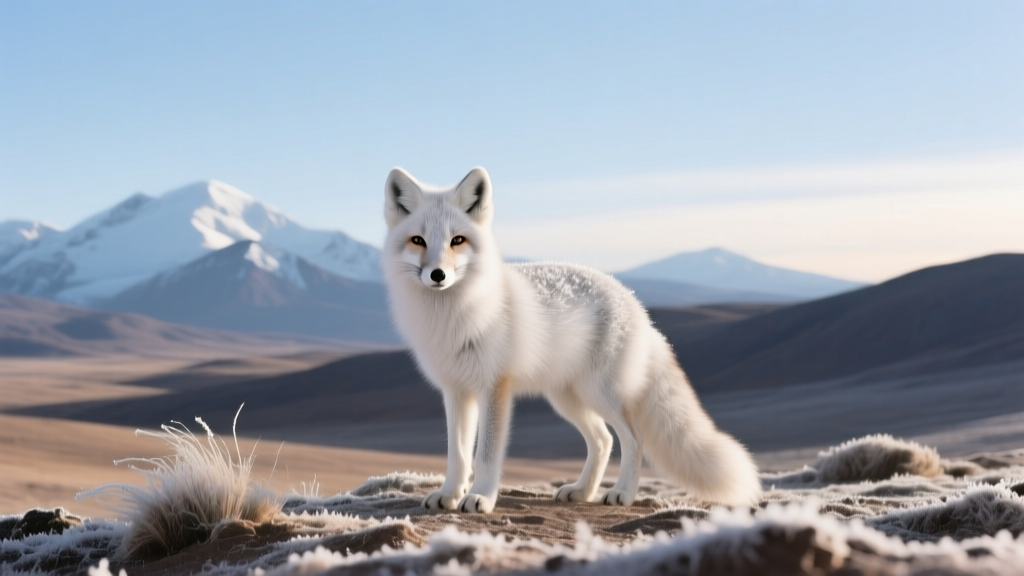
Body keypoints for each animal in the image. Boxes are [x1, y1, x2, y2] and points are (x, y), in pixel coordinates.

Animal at [381, 166, 762, 514]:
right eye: (418, 241)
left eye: (457, 241)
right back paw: (582, 491)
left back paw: (622, 494)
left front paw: (481, 498)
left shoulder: (494, 387)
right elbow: (458, 454)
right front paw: (449, 494)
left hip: (601, 393)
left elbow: (486, 455)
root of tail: (636, 304)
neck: (453, 315)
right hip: (568, 398)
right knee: (603, 440)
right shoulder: (456, 391)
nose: (438, 274)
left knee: (633, 439)